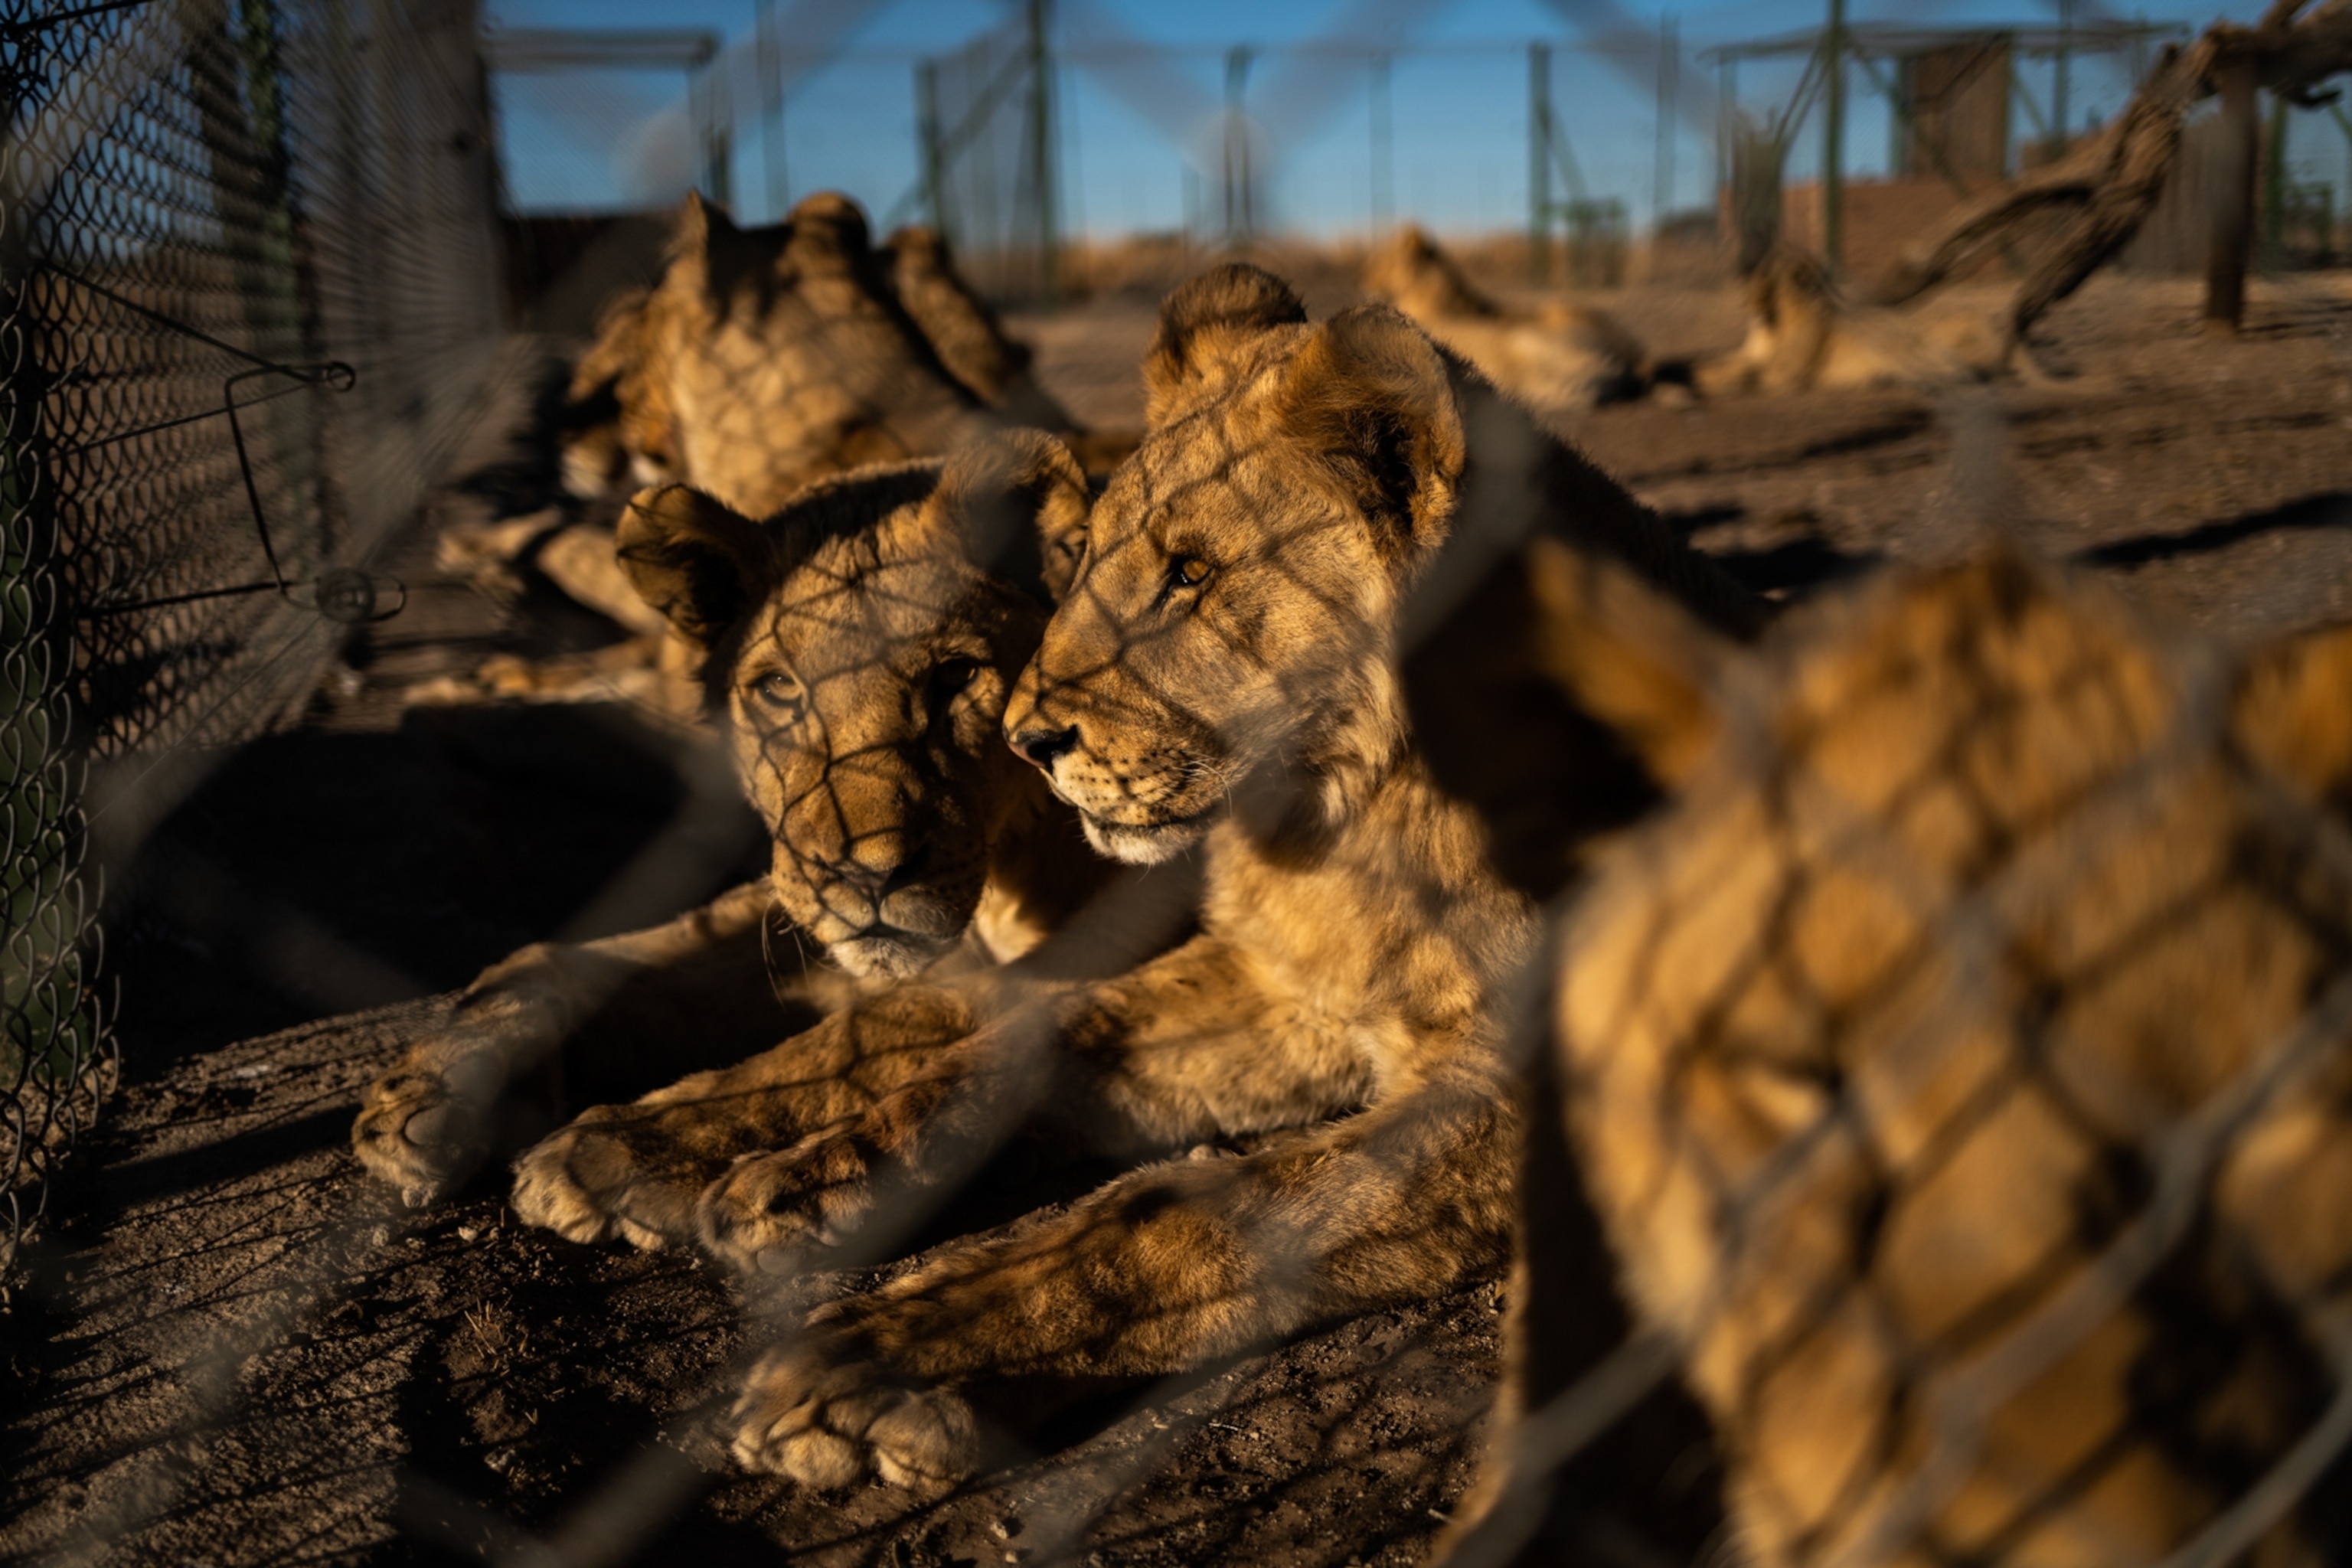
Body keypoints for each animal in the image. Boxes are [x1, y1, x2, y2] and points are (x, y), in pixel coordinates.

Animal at [352, 430, 1168, 1210]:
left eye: (957, 676)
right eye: (779, 689)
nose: (865, 877)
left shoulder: (1108, 937)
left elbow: (863, 1035)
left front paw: (625, 1149)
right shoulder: (795, 896)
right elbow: (602, 955)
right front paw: (433, 1085)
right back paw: (460, 647)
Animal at [498, 261, 1767, 1490]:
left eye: (1192, 574)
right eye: (1096, 561)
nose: (1029, 737)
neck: (1349, 826)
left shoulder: (1518, 1098)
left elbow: (1196, 1209)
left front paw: (877, 1370)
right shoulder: (1273, 991)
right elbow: (1013, 1051)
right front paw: (788, 1177)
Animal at [1693, 243, 2014, 396]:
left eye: (1766, 279)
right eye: (1753, 277)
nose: (1746, 304)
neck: (1773, 323)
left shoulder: (1784, 374)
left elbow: (1747, 377)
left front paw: (1709, 385)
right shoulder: (1751, 354)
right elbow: (1719, 365)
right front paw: (1695, 374)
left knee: (1963, 370)